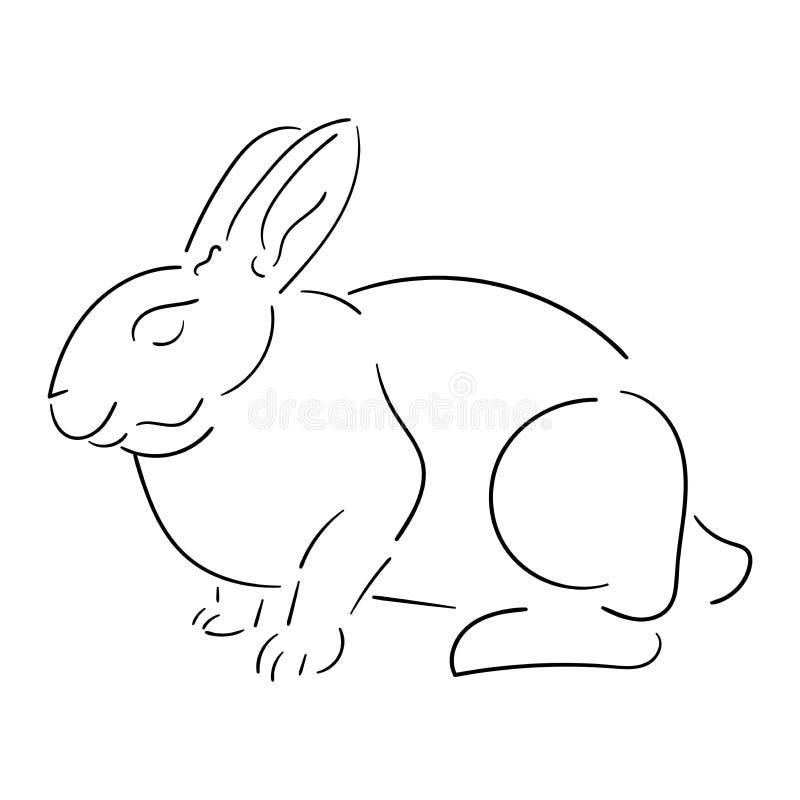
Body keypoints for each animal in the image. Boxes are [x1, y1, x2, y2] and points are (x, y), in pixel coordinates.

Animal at [48, 118, 752, 680]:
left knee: (635, 632)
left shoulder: (369, 510)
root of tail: (694, 532)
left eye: (163, 329)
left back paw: (481, 643)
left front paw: (292, 656)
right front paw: (221, 621)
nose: (62, 405)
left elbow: (326, 583)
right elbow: (235, 592)